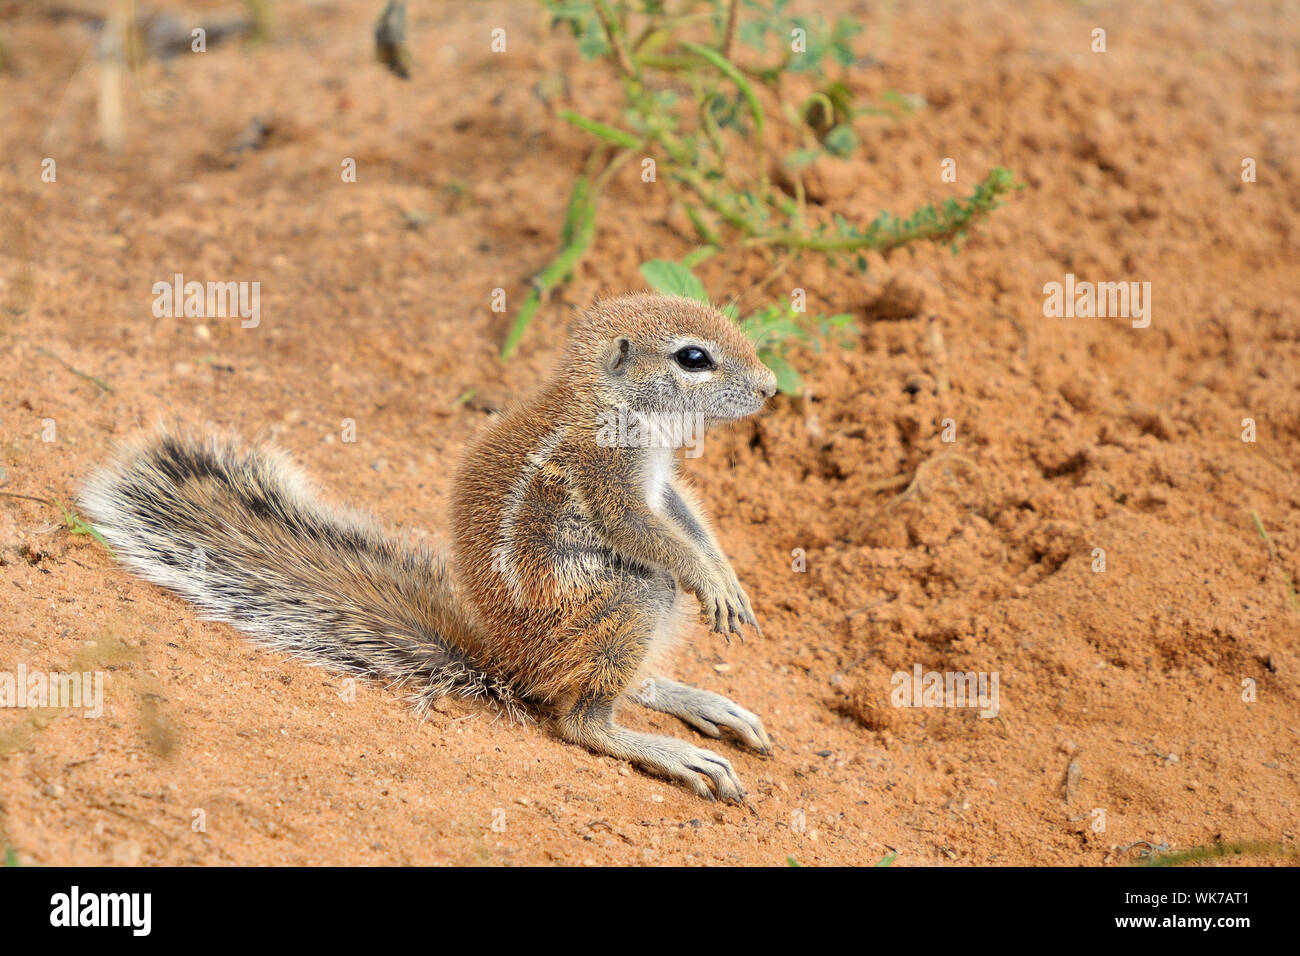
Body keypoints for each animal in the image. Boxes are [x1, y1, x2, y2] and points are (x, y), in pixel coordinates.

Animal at [81, 293, 779, 802]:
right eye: (694, 357)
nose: (773, 388)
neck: (612, 404)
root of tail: (504, 663)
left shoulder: (665, 484)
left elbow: (687, 519)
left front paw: (724, 573)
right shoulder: (609, 478)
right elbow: (646, 531)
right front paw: (709, 576)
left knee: (613, 686)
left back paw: (694, 699)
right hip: (628, 597)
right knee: (581, 714)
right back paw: (669, 751)